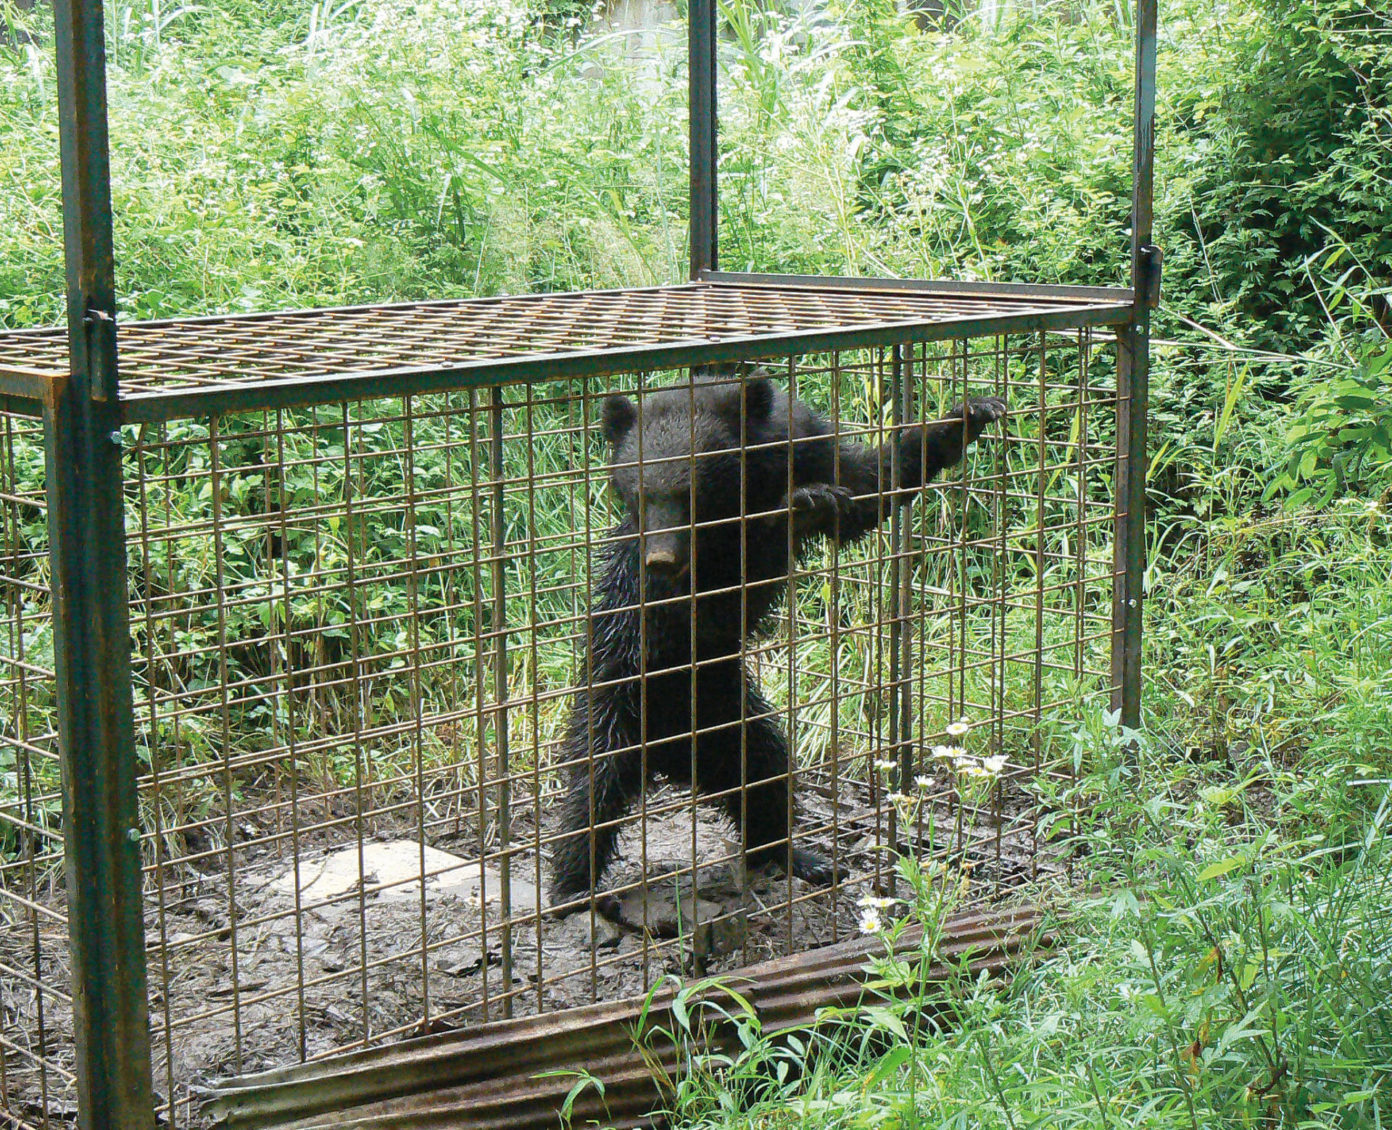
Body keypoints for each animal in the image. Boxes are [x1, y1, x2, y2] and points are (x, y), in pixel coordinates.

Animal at [548, 365, 1007, 914]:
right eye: (637, 492)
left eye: (690, 491)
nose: (661, 557)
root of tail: (672, 753)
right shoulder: (661, 598)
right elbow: (700, 601)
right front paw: (802, 506)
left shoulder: (806, 448)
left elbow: (872, 482)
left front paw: (968, 414)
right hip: (619, 700)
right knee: (591, 789)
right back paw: (576, 886)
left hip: (731, 716)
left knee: (766, 775)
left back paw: (797, 855)